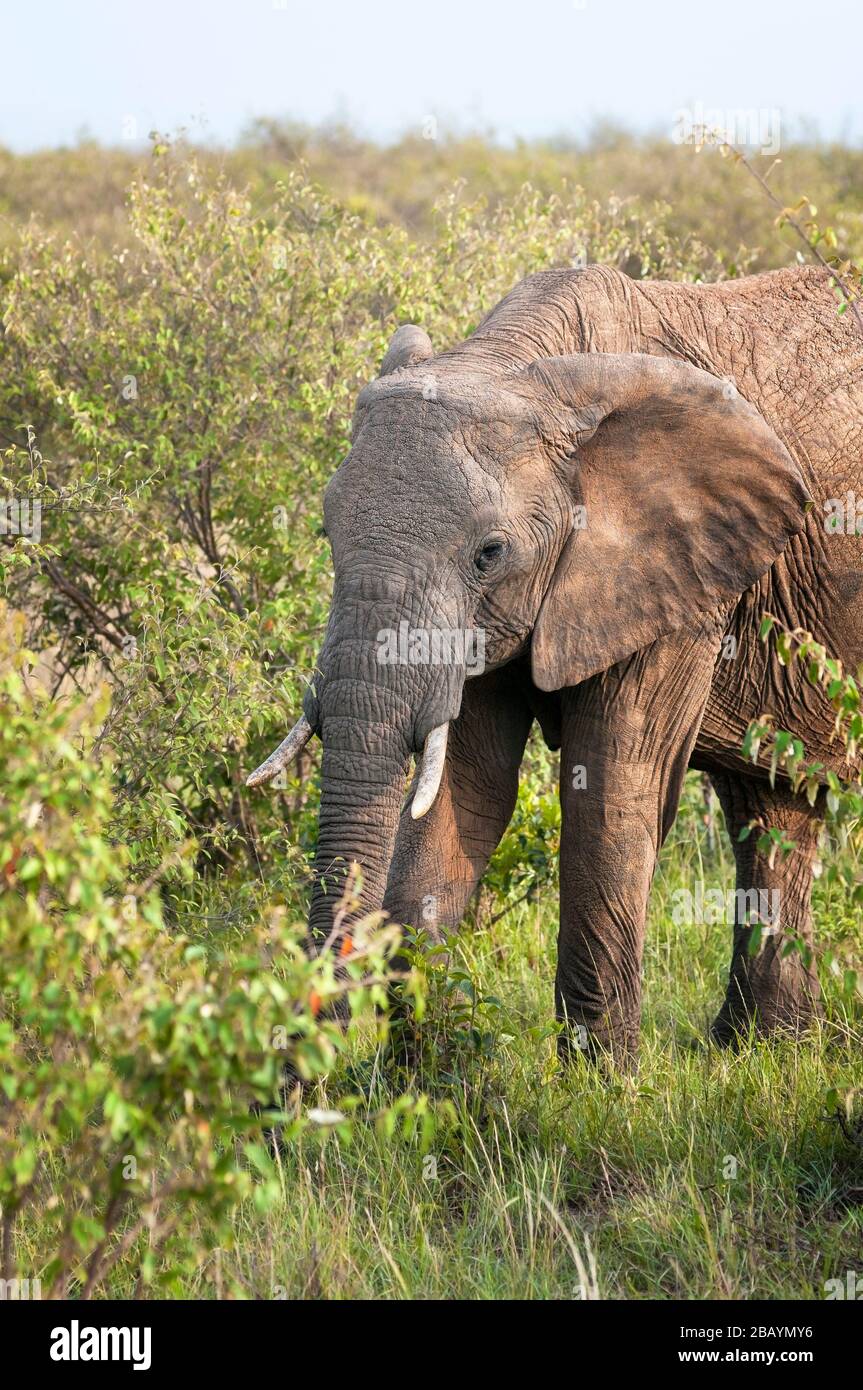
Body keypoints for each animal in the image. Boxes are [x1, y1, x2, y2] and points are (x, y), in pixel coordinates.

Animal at [248, 262, 863, 1067]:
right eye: (326, 531)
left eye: (489, 552)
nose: (302, 1069)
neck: (524, 368)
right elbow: (465, 787)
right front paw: (419, 1072)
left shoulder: (677, 577)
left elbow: (611, 787)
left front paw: (599, 1080)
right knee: (772, 806)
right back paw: (769, 1049)